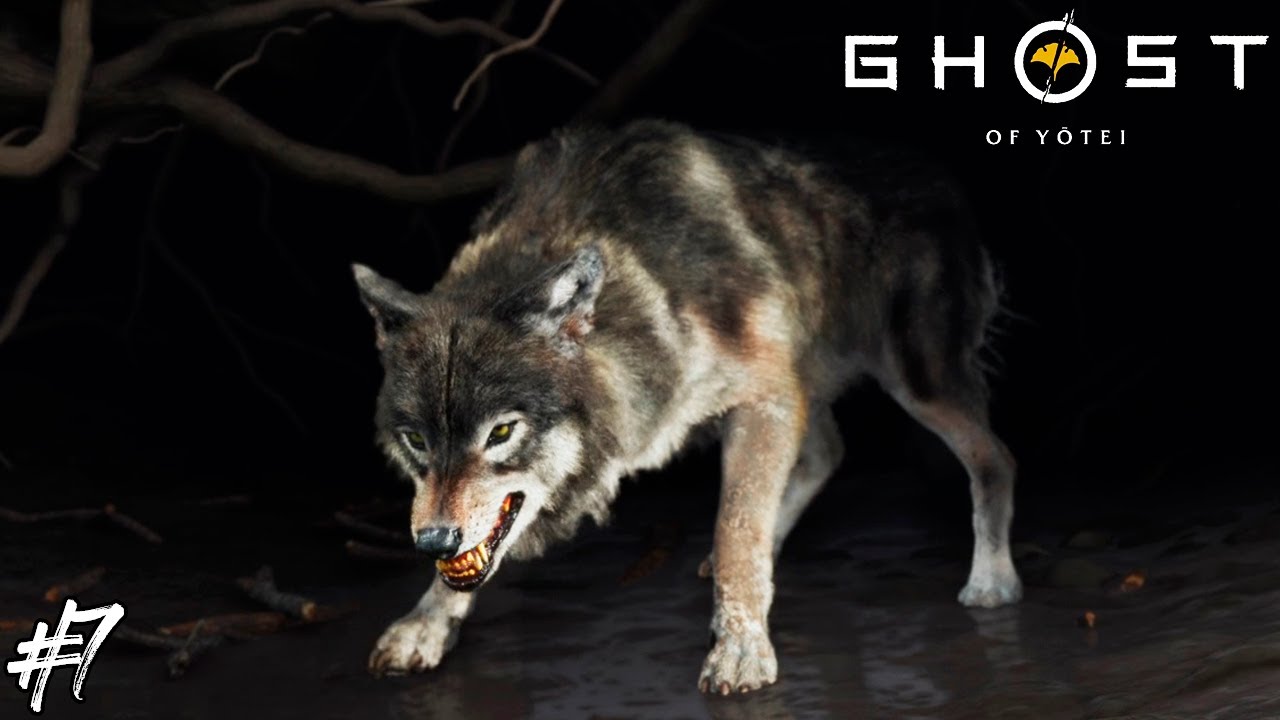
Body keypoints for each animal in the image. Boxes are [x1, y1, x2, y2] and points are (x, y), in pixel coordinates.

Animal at [352, 118, 1021, 694]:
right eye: (417, 441)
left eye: (500, 433)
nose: (432, 542)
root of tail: (934, 167)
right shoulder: (773, 394)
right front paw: (423, 626)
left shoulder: (763, 396)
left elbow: (736, 528)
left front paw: (741, 648)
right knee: (828, 452)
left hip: (917, 382)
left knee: (995, 458)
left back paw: (993, 580)